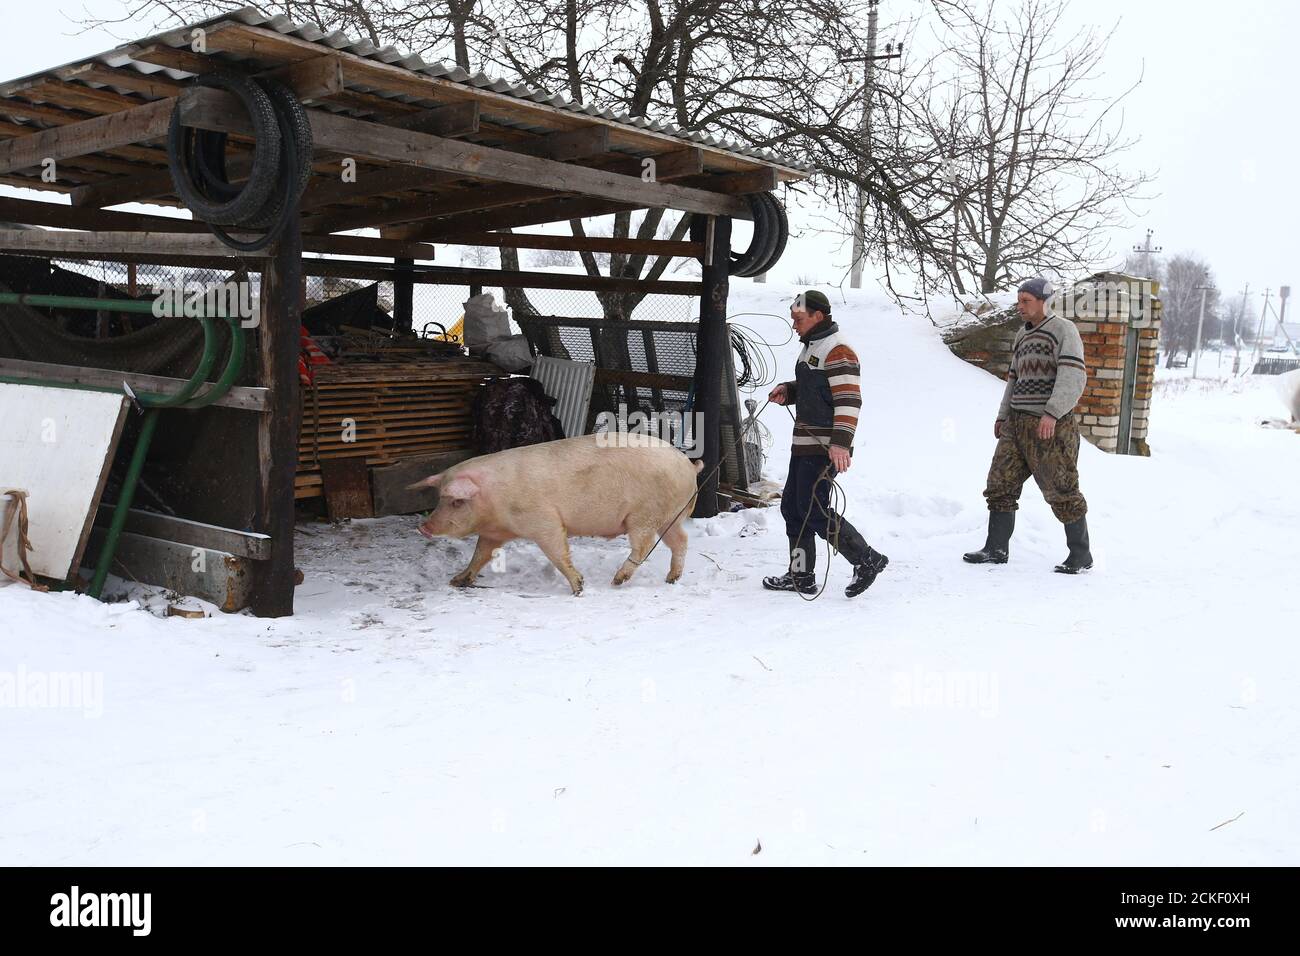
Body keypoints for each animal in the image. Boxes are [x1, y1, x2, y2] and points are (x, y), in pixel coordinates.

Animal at [411, 432, 704, 595]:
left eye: (456, 501)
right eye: (440, 498)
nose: (423, 527)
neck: (495, 501)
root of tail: (688, 465)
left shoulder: (544, 520)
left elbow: (557, 552)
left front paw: (578, 588)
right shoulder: (494, 532)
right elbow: (480, 555)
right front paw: (456, 581)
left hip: (644, 515)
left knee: (643, 547)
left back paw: (616, 581)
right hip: (669, 517)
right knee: (681, 541)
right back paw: (671, 579)